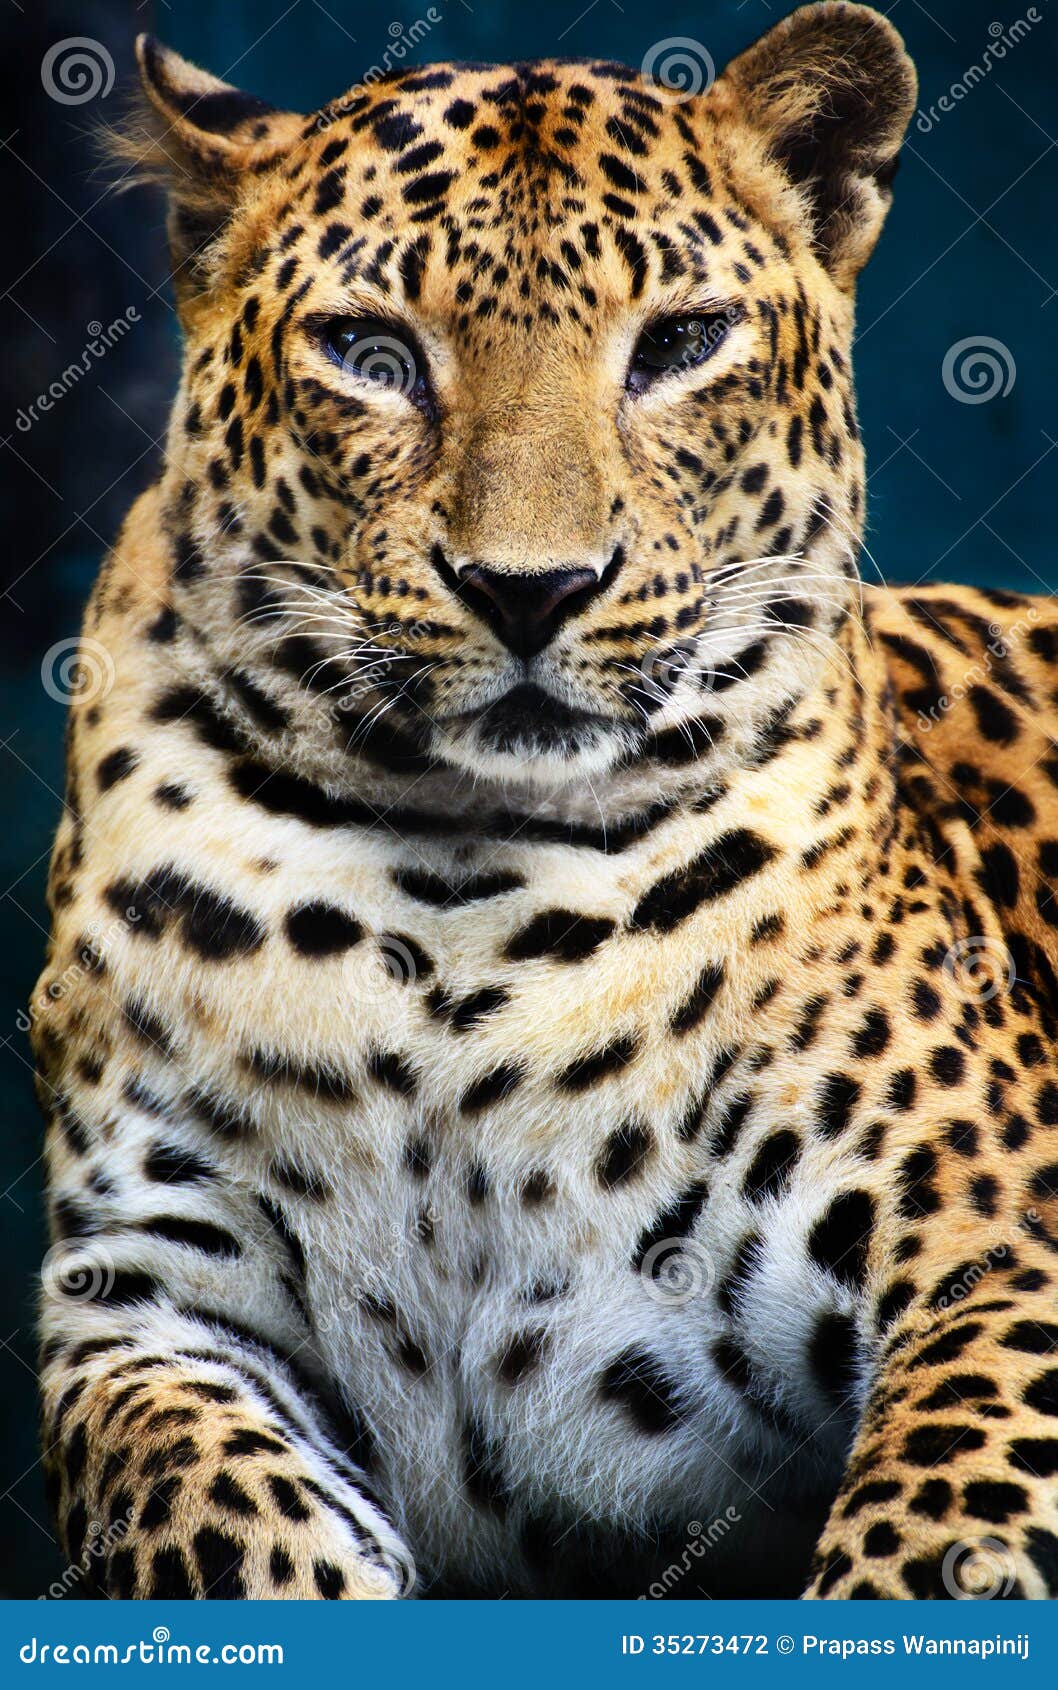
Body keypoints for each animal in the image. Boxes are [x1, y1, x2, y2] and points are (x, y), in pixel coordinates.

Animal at [31, 2, 1058, 1602]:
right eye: (371, 351)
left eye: (681, 343)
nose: (531, 589)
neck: (463, 891)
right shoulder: (142, 1299)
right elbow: (218, 1507)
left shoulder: (996, 1234)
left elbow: (943, 1528)